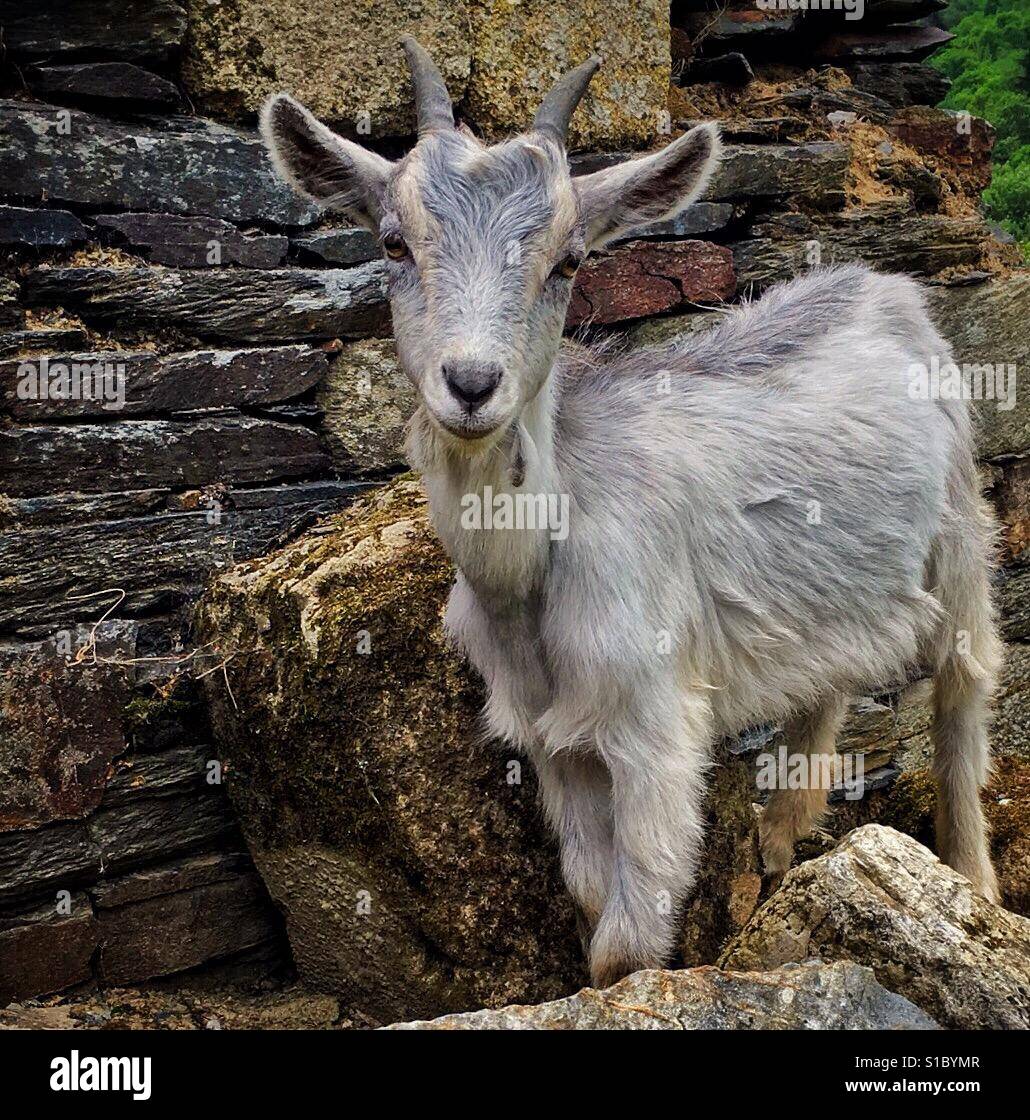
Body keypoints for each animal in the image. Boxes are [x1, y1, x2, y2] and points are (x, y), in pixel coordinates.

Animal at [261, 37, 1002, 987]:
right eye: (394, 242)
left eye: (569, 261)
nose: (471, 384)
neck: (536, 561)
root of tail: (886, 290)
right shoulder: (549, 737)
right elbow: (586, 888)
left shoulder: (655, 726)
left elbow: (628, 937)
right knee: (829, 680)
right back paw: (779, 838)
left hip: (961, 531)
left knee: (965, 686)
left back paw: (972, 883)